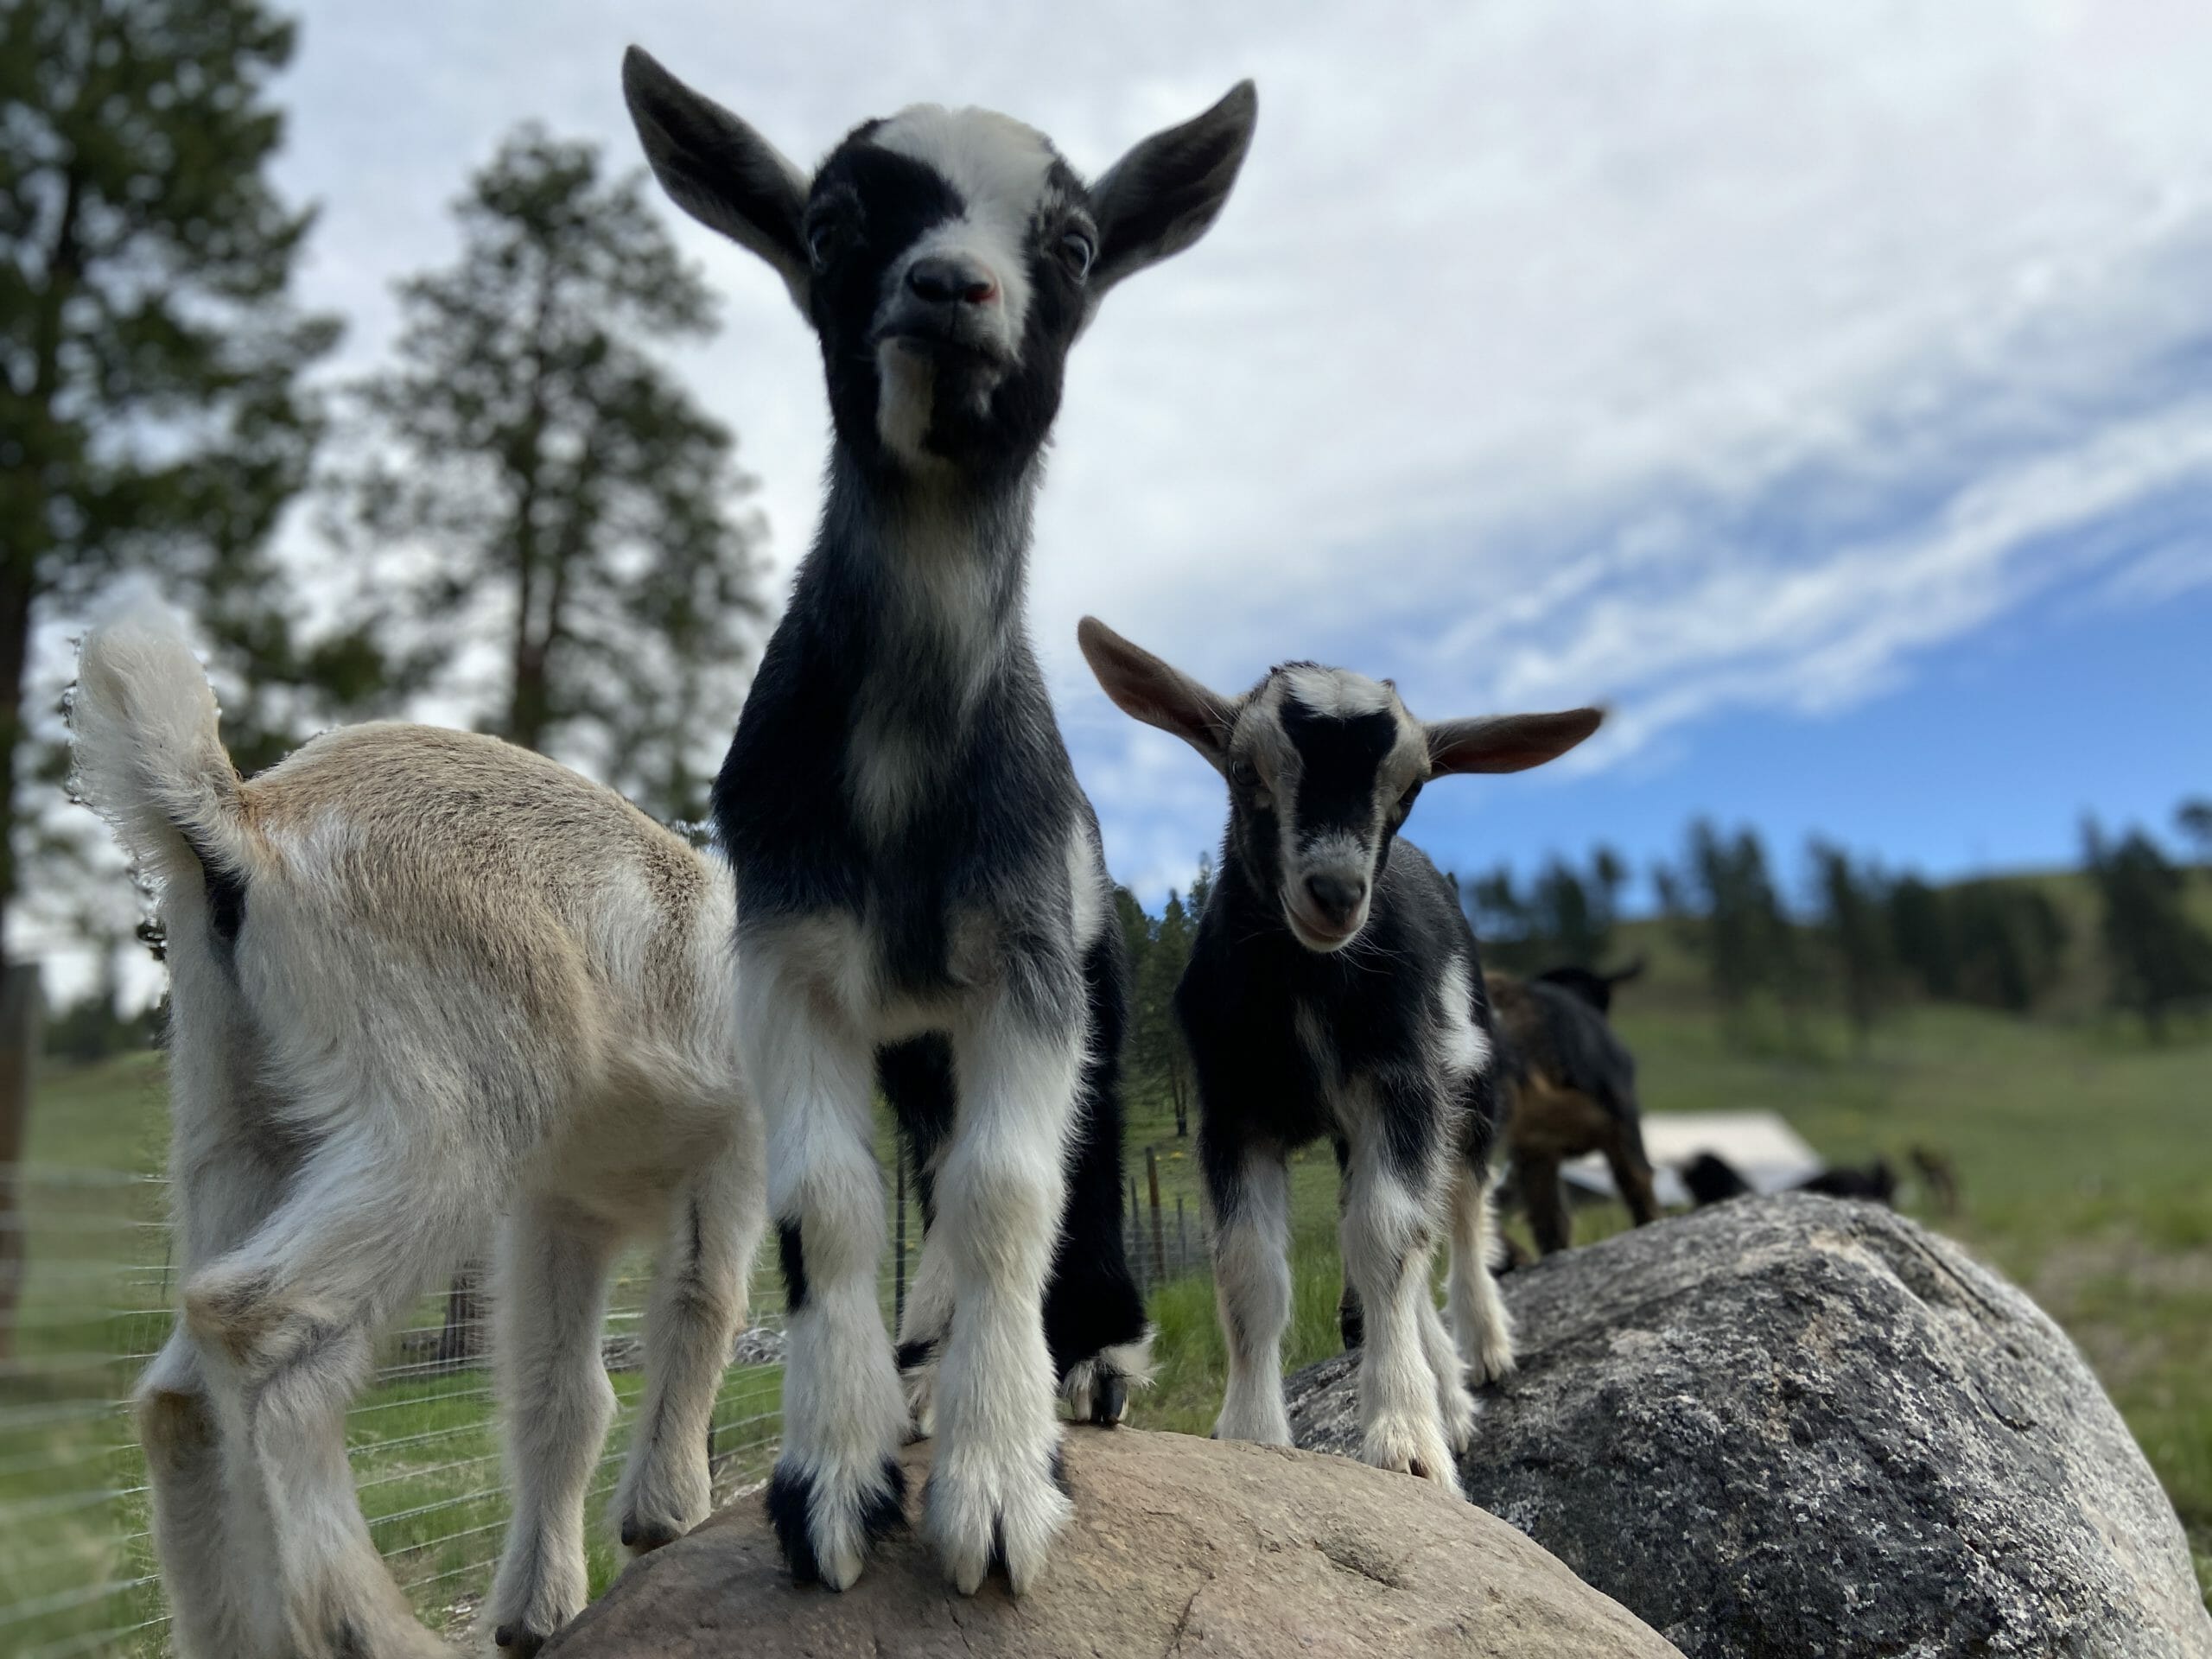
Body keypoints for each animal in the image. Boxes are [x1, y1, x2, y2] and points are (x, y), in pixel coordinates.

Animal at [67, 605, 764, 1659]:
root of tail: (243, 821)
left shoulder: (560, 1207)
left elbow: (561, 1395)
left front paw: (534, 1611)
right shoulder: (730, 1150)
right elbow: (701, 1305)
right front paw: (663, 1513)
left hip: (237, 1119)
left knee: (180, 1395)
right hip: (450, 1107)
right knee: (257, 1320)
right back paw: (374, 1626)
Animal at [619, 49, 1257, 1594]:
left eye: (1074, 244)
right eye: (834, 220)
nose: (951, 288)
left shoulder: (1025, 963)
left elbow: (1009, 1192)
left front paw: (1001, 1482)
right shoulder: (787, 961)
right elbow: (838, 1204)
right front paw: (834, 1481)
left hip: (1092, 986)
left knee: (1075, 1164)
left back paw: (1089, 1362)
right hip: (918, 1043)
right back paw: (927, 1361)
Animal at [1077, 617, 1599, 1495]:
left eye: (1412, 787)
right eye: (1244, 767)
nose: (1336, 893)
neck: (1312, 983)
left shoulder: (1402, 1085)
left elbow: (1387, 1239)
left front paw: (1410, 1440)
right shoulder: (1233, 1112)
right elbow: (1250, 1265)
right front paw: (1254, 1434)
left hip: (1467, 1085)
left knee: (1456, 1211)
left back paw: (1483, 1352)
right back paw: (1447, 1379)